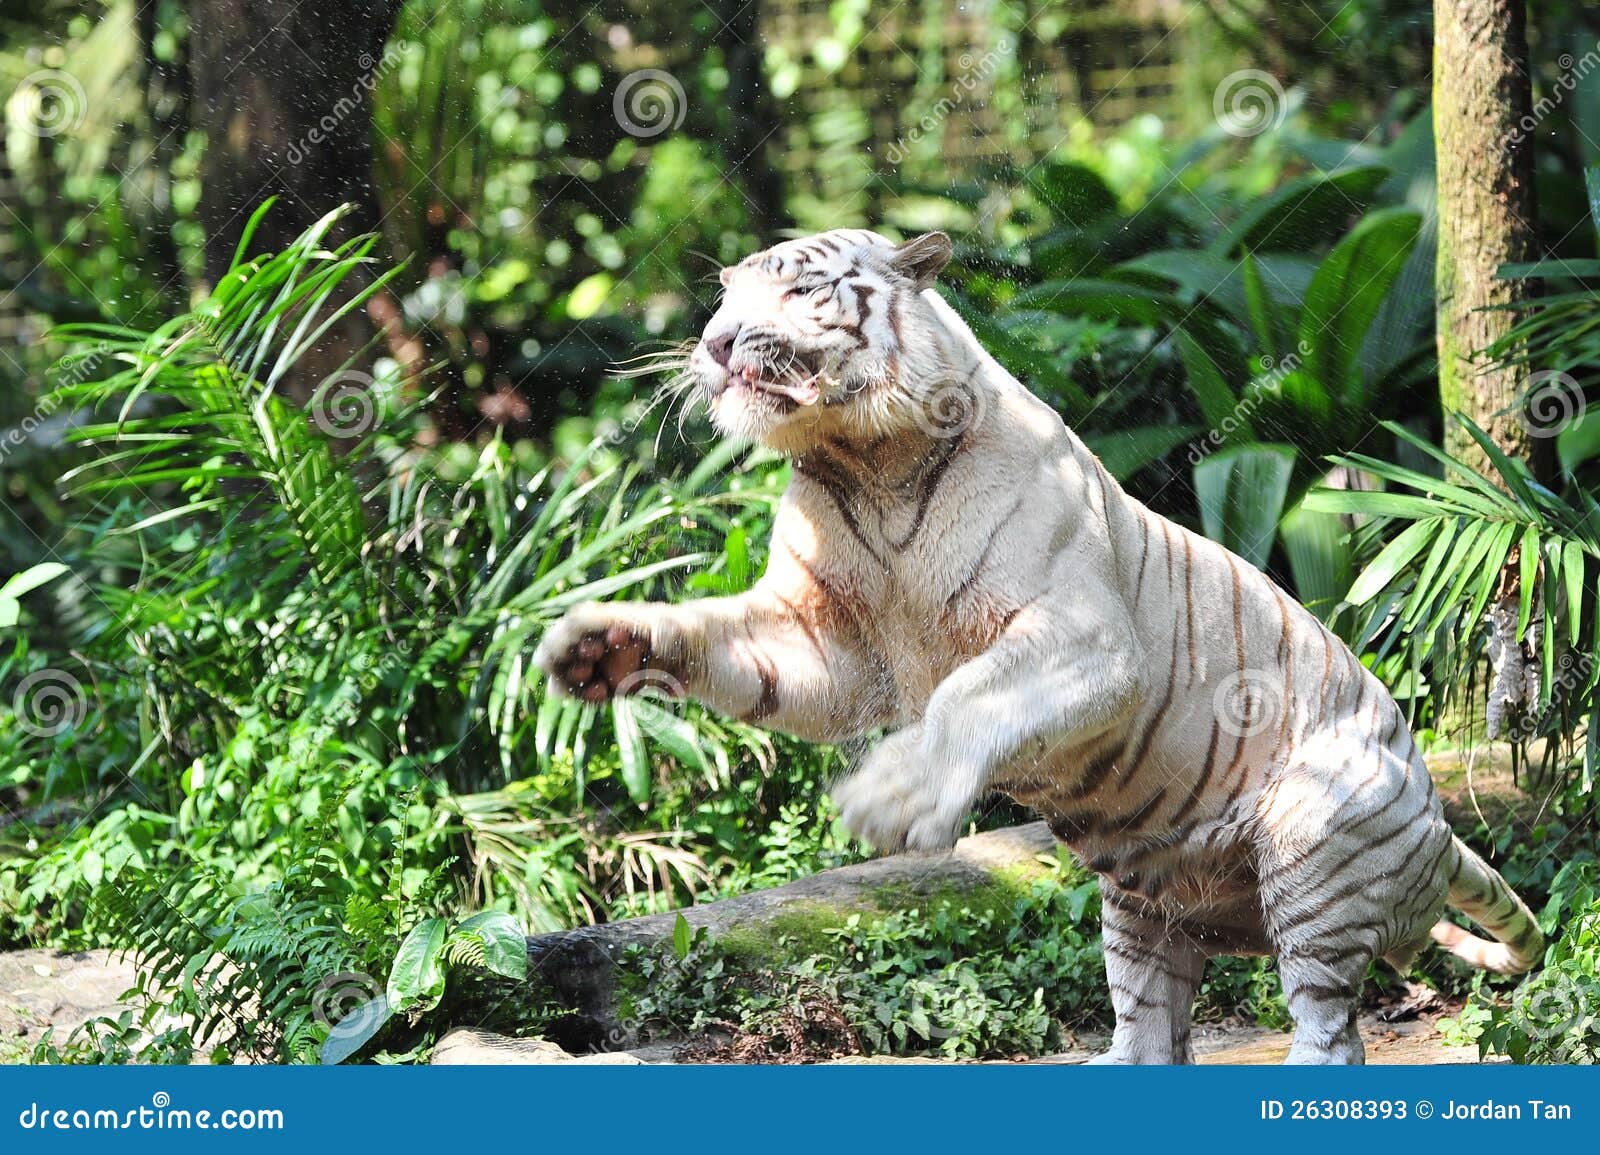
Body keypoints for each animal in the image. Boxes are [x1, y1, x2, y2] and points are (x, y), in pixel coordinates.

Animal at [533, 227, 1545, 1064]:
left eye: (799, 288)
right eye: (724, 293)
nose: (712, 344)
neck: (861, 459)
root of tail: (1439, 825)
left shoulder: (1085, 637)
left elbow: (969, 695)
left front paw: (896, 795)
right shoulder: (819, 639)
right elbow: (715, 636)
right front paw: (600, 643)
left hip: (1318, 844)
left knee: (1331, 1028)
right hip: (1143, 906)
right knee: (1152, 1026)